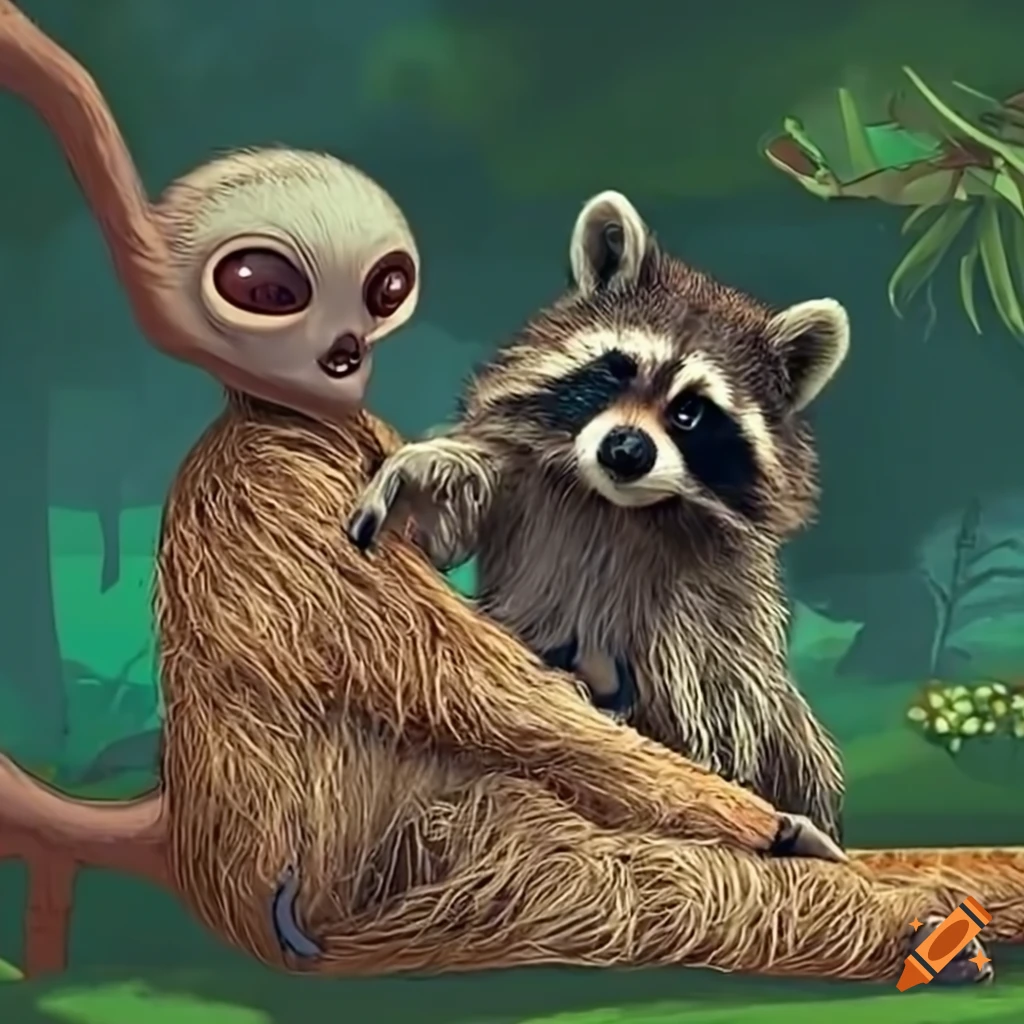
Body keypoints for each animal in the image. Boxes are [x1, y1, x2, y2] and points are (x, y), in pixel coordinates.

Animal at [348, 190, 849, 840]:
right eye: (616, 369)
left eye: (690, 411)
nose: (625, 450)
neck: (614, 503)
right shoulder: (523, 494)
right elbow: (452, 528)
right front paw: (430, 474)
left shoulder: (721, 610)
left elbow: (720, 707)